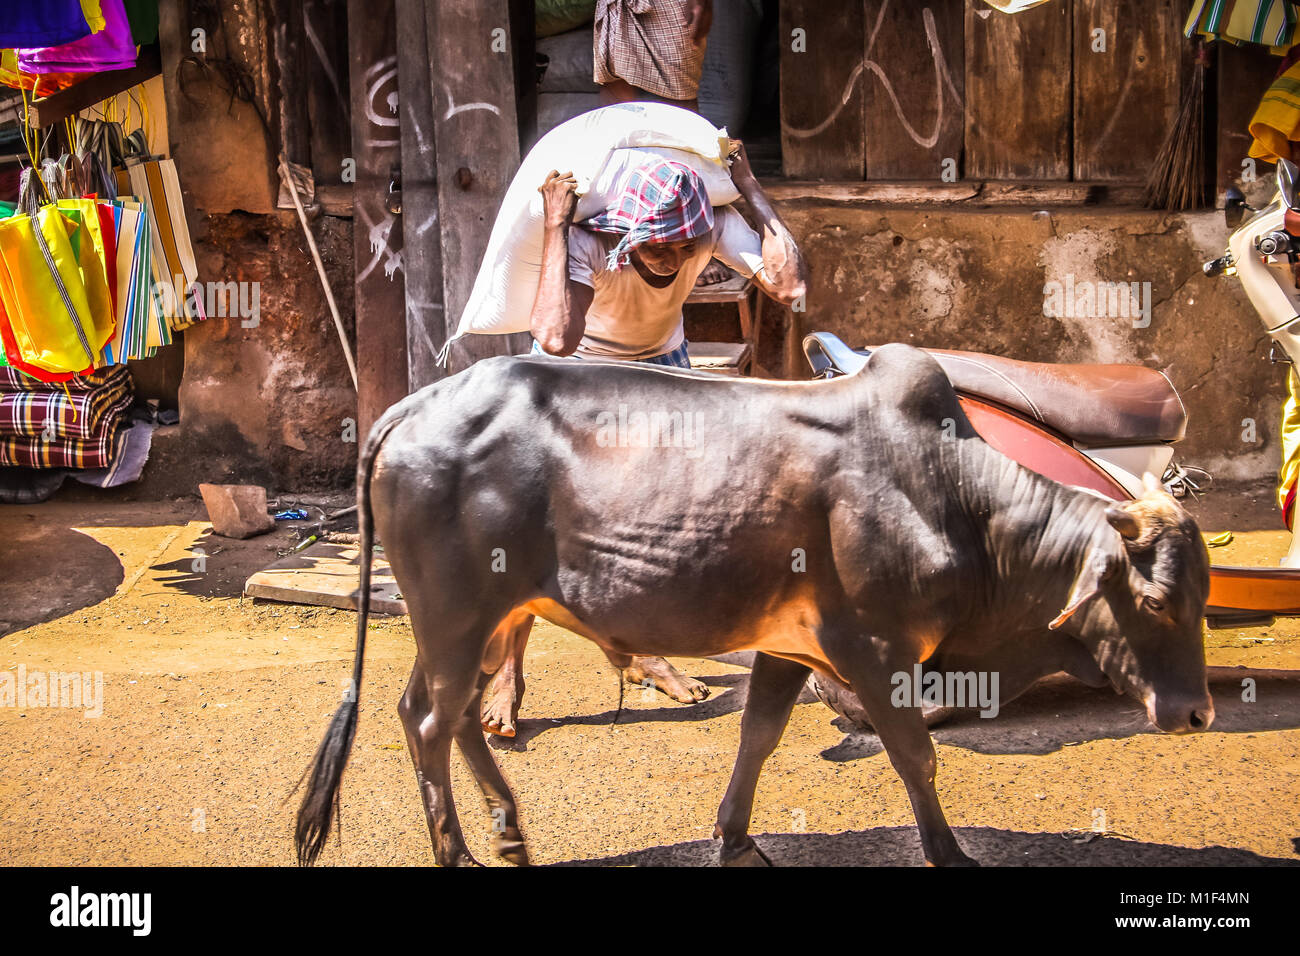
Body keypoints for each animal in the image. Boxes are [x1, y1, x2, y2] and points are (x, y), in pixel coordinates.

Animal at [294, 343, 1214, 868]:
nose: (1199, 714)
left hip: (486, 622)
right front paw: (951, 854)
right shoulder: (874, 650)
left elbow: (759, 736)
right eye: (1154, 600)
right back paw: (459, 853)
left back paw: (511, 830)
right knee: (428, 721)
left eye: (1203, 596)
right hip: (455, 618)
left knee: (445, 713)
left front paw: (735, 838)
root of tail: (417, 403)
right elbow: (915, 756)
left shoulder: (789, 644)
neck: (952, 498)